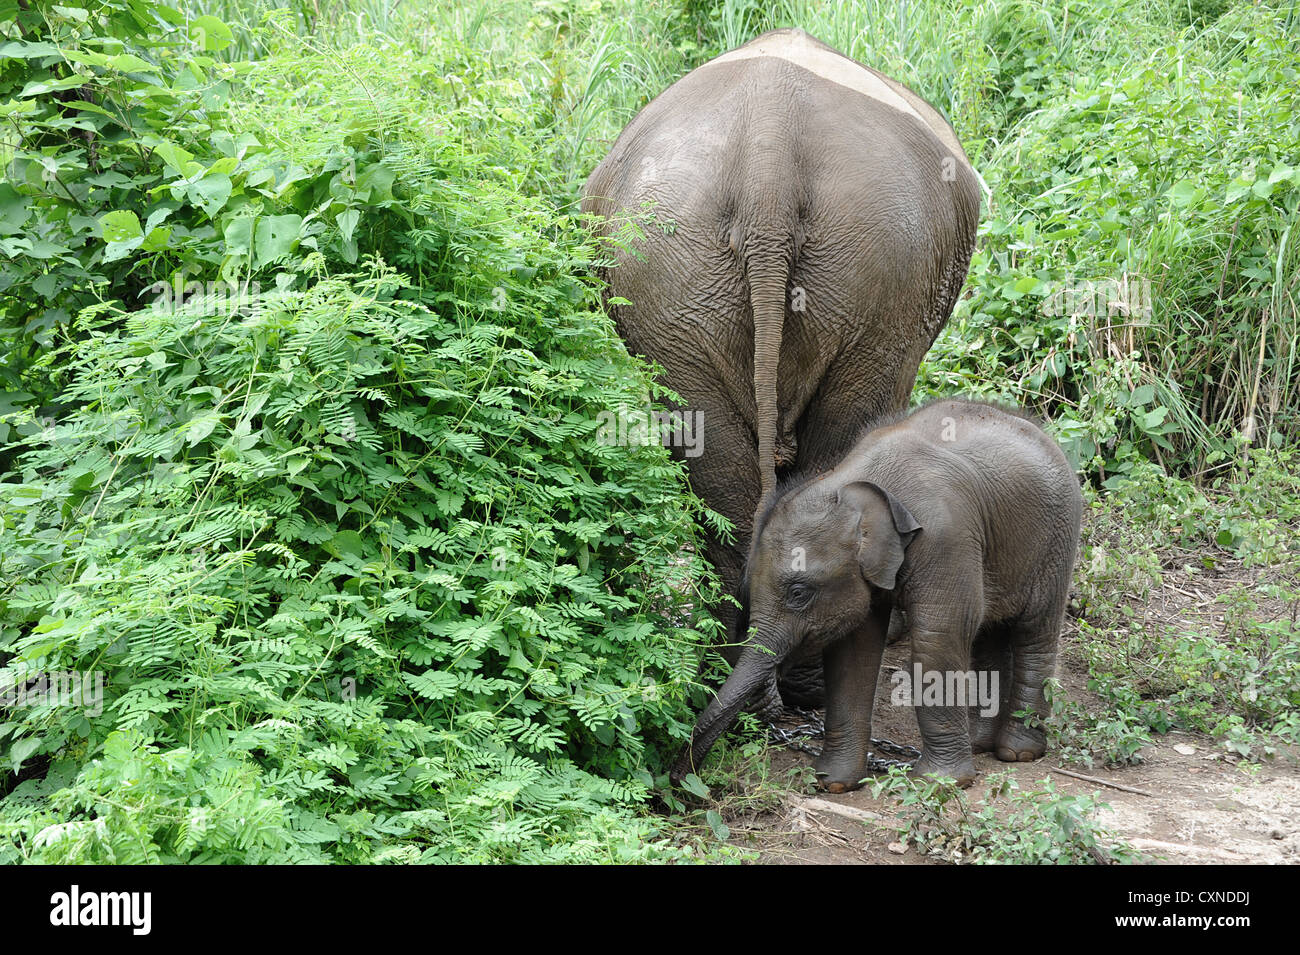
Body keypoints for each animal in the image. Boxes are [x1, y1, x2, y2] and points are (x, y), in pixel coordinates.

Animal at [580, 28, 981, 710]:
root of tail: (769, 160)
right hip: (873, 281)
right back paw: (806, 680)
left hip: (674, 280)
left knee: (712, 454)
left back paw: (740, 674)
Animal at [670, 399, 1084, 791]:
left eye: (799, 592)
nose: (677, 779)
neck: (853, 482)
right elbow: (852, 648)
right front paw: (833, 783)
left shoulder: (947, 536)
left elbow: (939, 636)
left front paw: (941, 782)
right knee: (990, 633)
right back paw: (982, 745)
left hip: (1058, 537)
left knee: (1034, 630)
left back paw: (1017, 752)